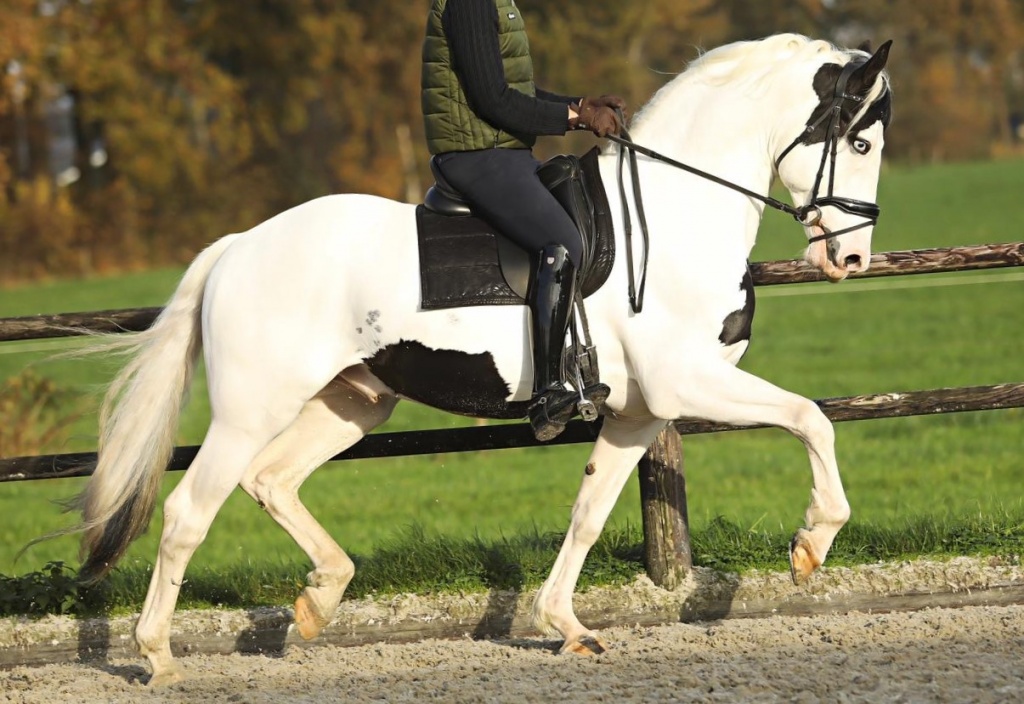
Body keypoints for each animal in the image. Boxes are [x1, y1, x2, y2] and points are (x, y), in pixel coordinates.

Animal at [69, 33, 892, 685]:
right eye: (860, 143)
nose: (851, 259)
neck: (675, 213)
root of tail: (239, 246)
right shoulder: (688, 383)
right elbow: (811, 418)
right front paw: (811, 544)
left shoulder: (638, 412)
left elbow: (589, 512)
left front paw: (566, 625)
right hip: (250, 408)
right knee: (188, 511)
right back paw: (159, 656)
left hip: (354, 402)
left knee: (270, 480)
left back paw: (318, 599)